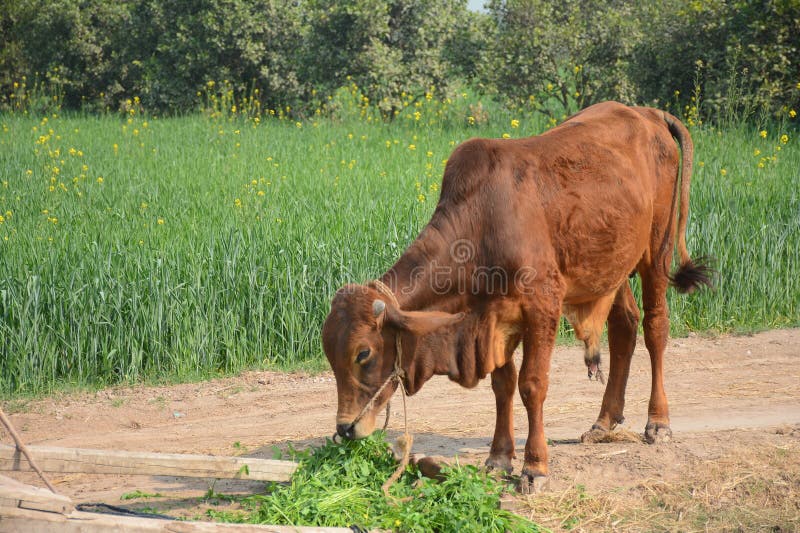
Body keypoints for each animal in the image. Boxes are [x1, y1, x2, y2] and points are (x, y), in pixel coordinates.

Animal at [322, 101, 713, 493]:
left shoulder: (543, 306)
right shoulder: (491, 318)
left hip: (656, 251)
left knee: (655, 329)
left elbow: (531, 385)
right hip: (611, 266)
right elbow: (503, 386)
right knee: (623, 329)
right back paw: (604, 421)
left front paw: (534, 466)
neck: (482, 223)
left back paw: (658, 422)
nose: (345, 428)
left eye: (363, 353)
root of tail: (647, 113)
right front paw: (499, 457)